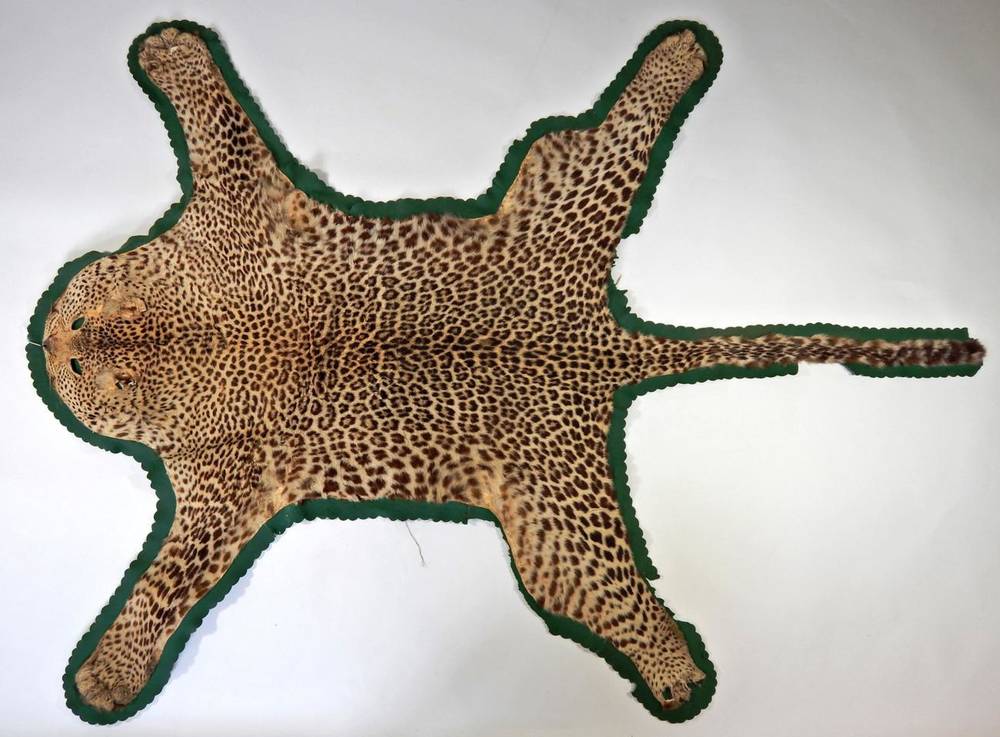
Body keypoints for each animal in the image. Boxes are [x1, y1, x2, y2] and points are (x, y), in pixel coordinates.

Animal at [35, 22, 984, 721]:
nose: (45, 344)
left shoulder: (225, 455)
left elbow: (162, 587)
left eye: (80, 336)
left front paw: (105, 676)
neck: (194, 336)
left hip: (560, 526)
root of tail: (609, 341)